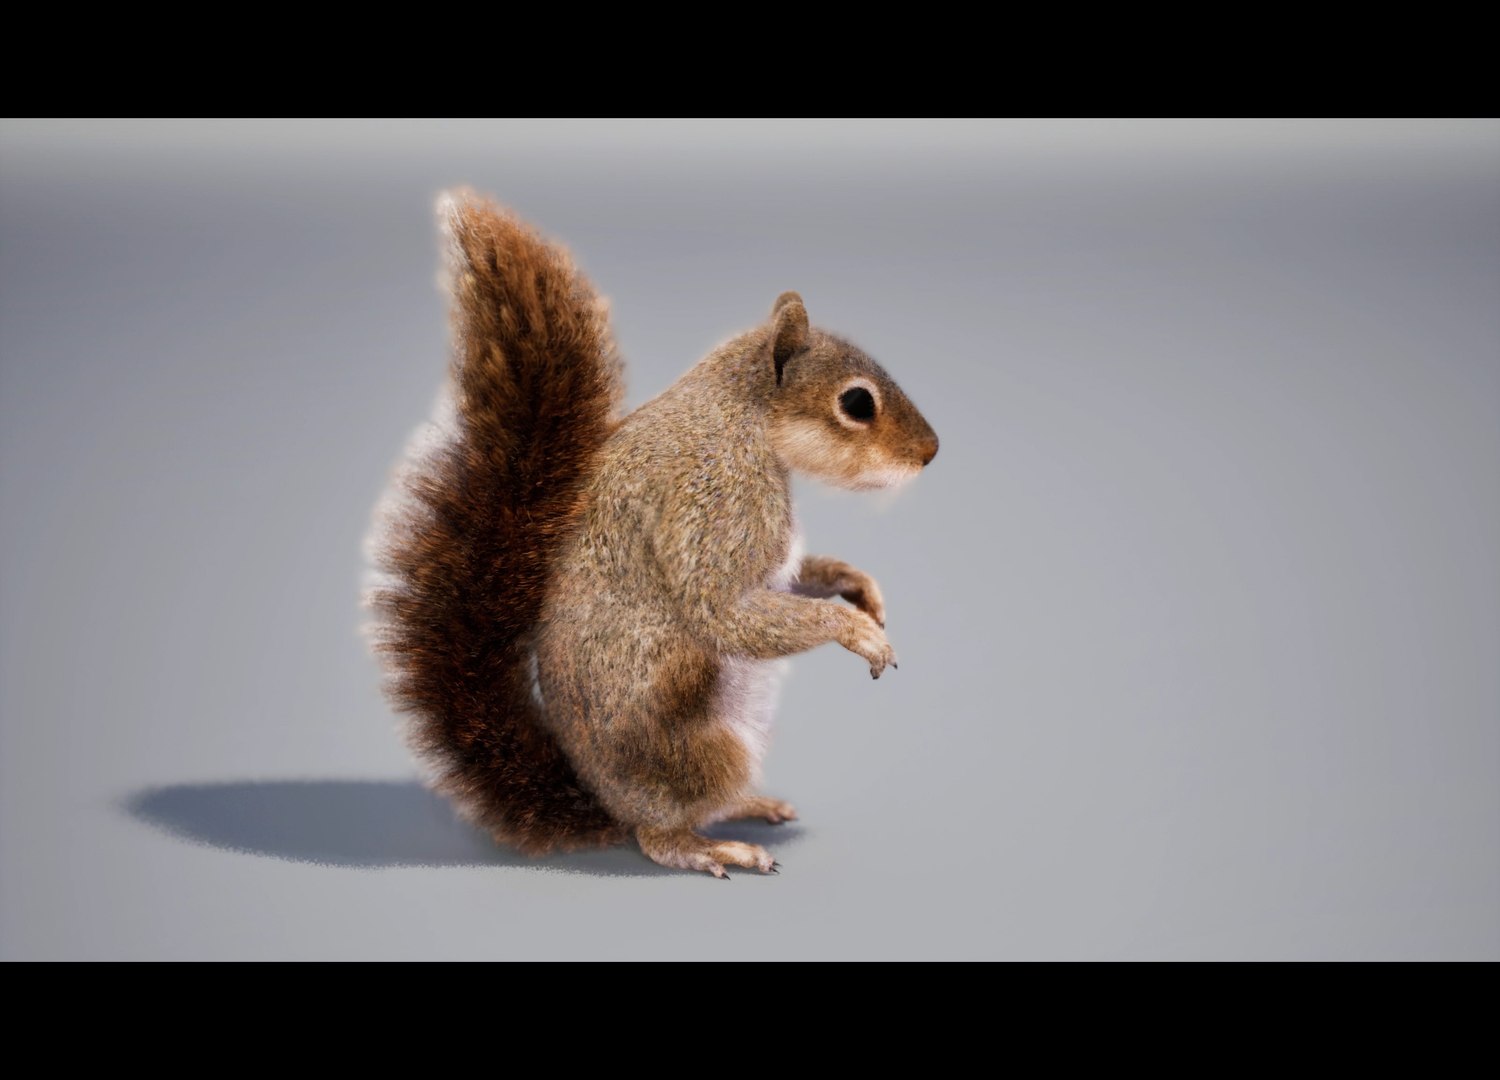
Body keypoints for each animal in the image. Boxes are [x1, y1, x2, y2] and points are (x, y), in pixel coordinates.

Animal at [364, 190, 939, 877]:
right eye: (856, 403)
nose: (932, 452)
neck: (740, 411)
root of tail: (604, 802)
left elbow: (795, 579)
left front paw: (857, 585)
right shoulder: (716, 495)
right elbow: (721, 609)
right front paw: (856, 631)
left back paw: (748, 806)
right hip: (695, 745)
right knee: (658, 836)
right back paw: (710, 847)